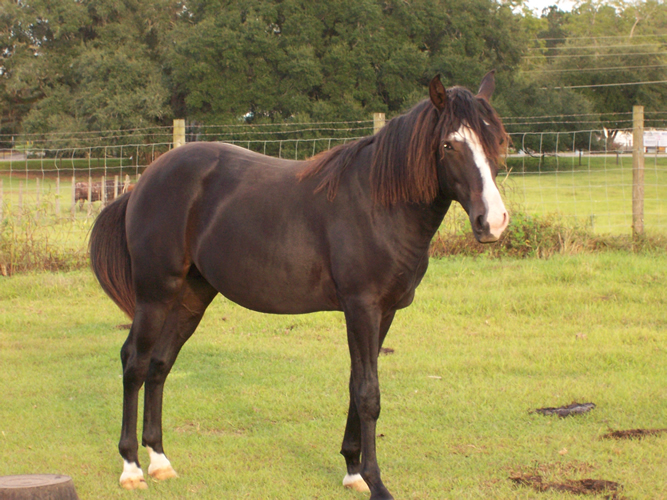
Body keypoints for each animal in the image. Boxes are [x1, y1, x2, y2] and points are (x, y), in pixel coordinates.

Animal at [89, 71, 509, 500]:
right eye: (448, 145)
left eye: (499, 140)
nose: (491, 222)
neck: (378, 205)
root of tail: (144, 181)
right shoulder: (362, 307)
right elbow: (368, 393)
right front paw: (376, 483)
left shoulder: (385, 311)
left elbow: (356, 385)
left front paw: (353, 471)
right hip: (155, 293)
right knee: (134, 363)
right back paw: (131, 467)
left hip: (192, 296)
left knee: (159, 364)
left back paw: (160, 460)